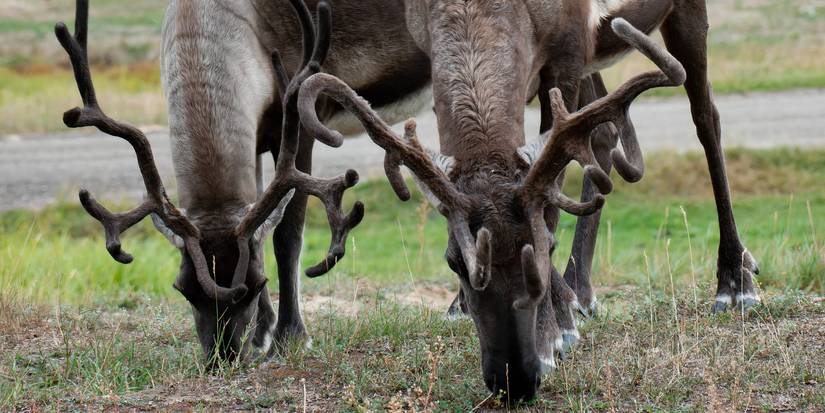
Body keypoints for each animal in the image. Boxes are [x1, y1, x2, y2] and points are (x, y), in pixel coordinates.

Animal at [55, 0, 363, 363]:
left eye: (258, 285)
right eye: (182, 289)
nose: (222, 358)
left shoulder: (298, 126)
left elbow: (287, 235)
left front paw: (289, 338)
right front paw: (262, 333)